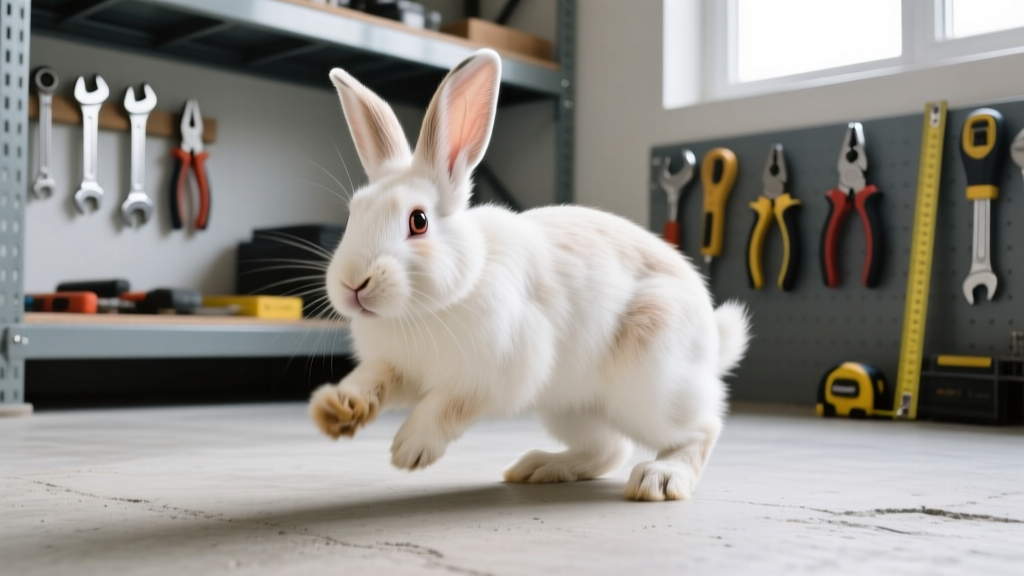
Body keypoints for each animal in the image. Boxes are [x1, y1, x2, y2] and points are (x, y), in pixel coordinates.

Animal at [309, 48, 751, 502]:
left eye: (419, 221)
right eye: (354, 213)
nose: (353, 284)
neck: (429, 307)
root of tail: (714, 339)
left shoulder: (496, 372)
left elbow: (448, 405)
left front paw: (411, 447)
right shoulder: (399, 369)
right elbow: (373, 380)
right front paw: (338, 409)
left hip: (650, 384)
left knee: (700, 428)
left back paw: (659, 479)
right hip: (570, 407)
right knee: (609, 448)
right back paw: (540, 466)